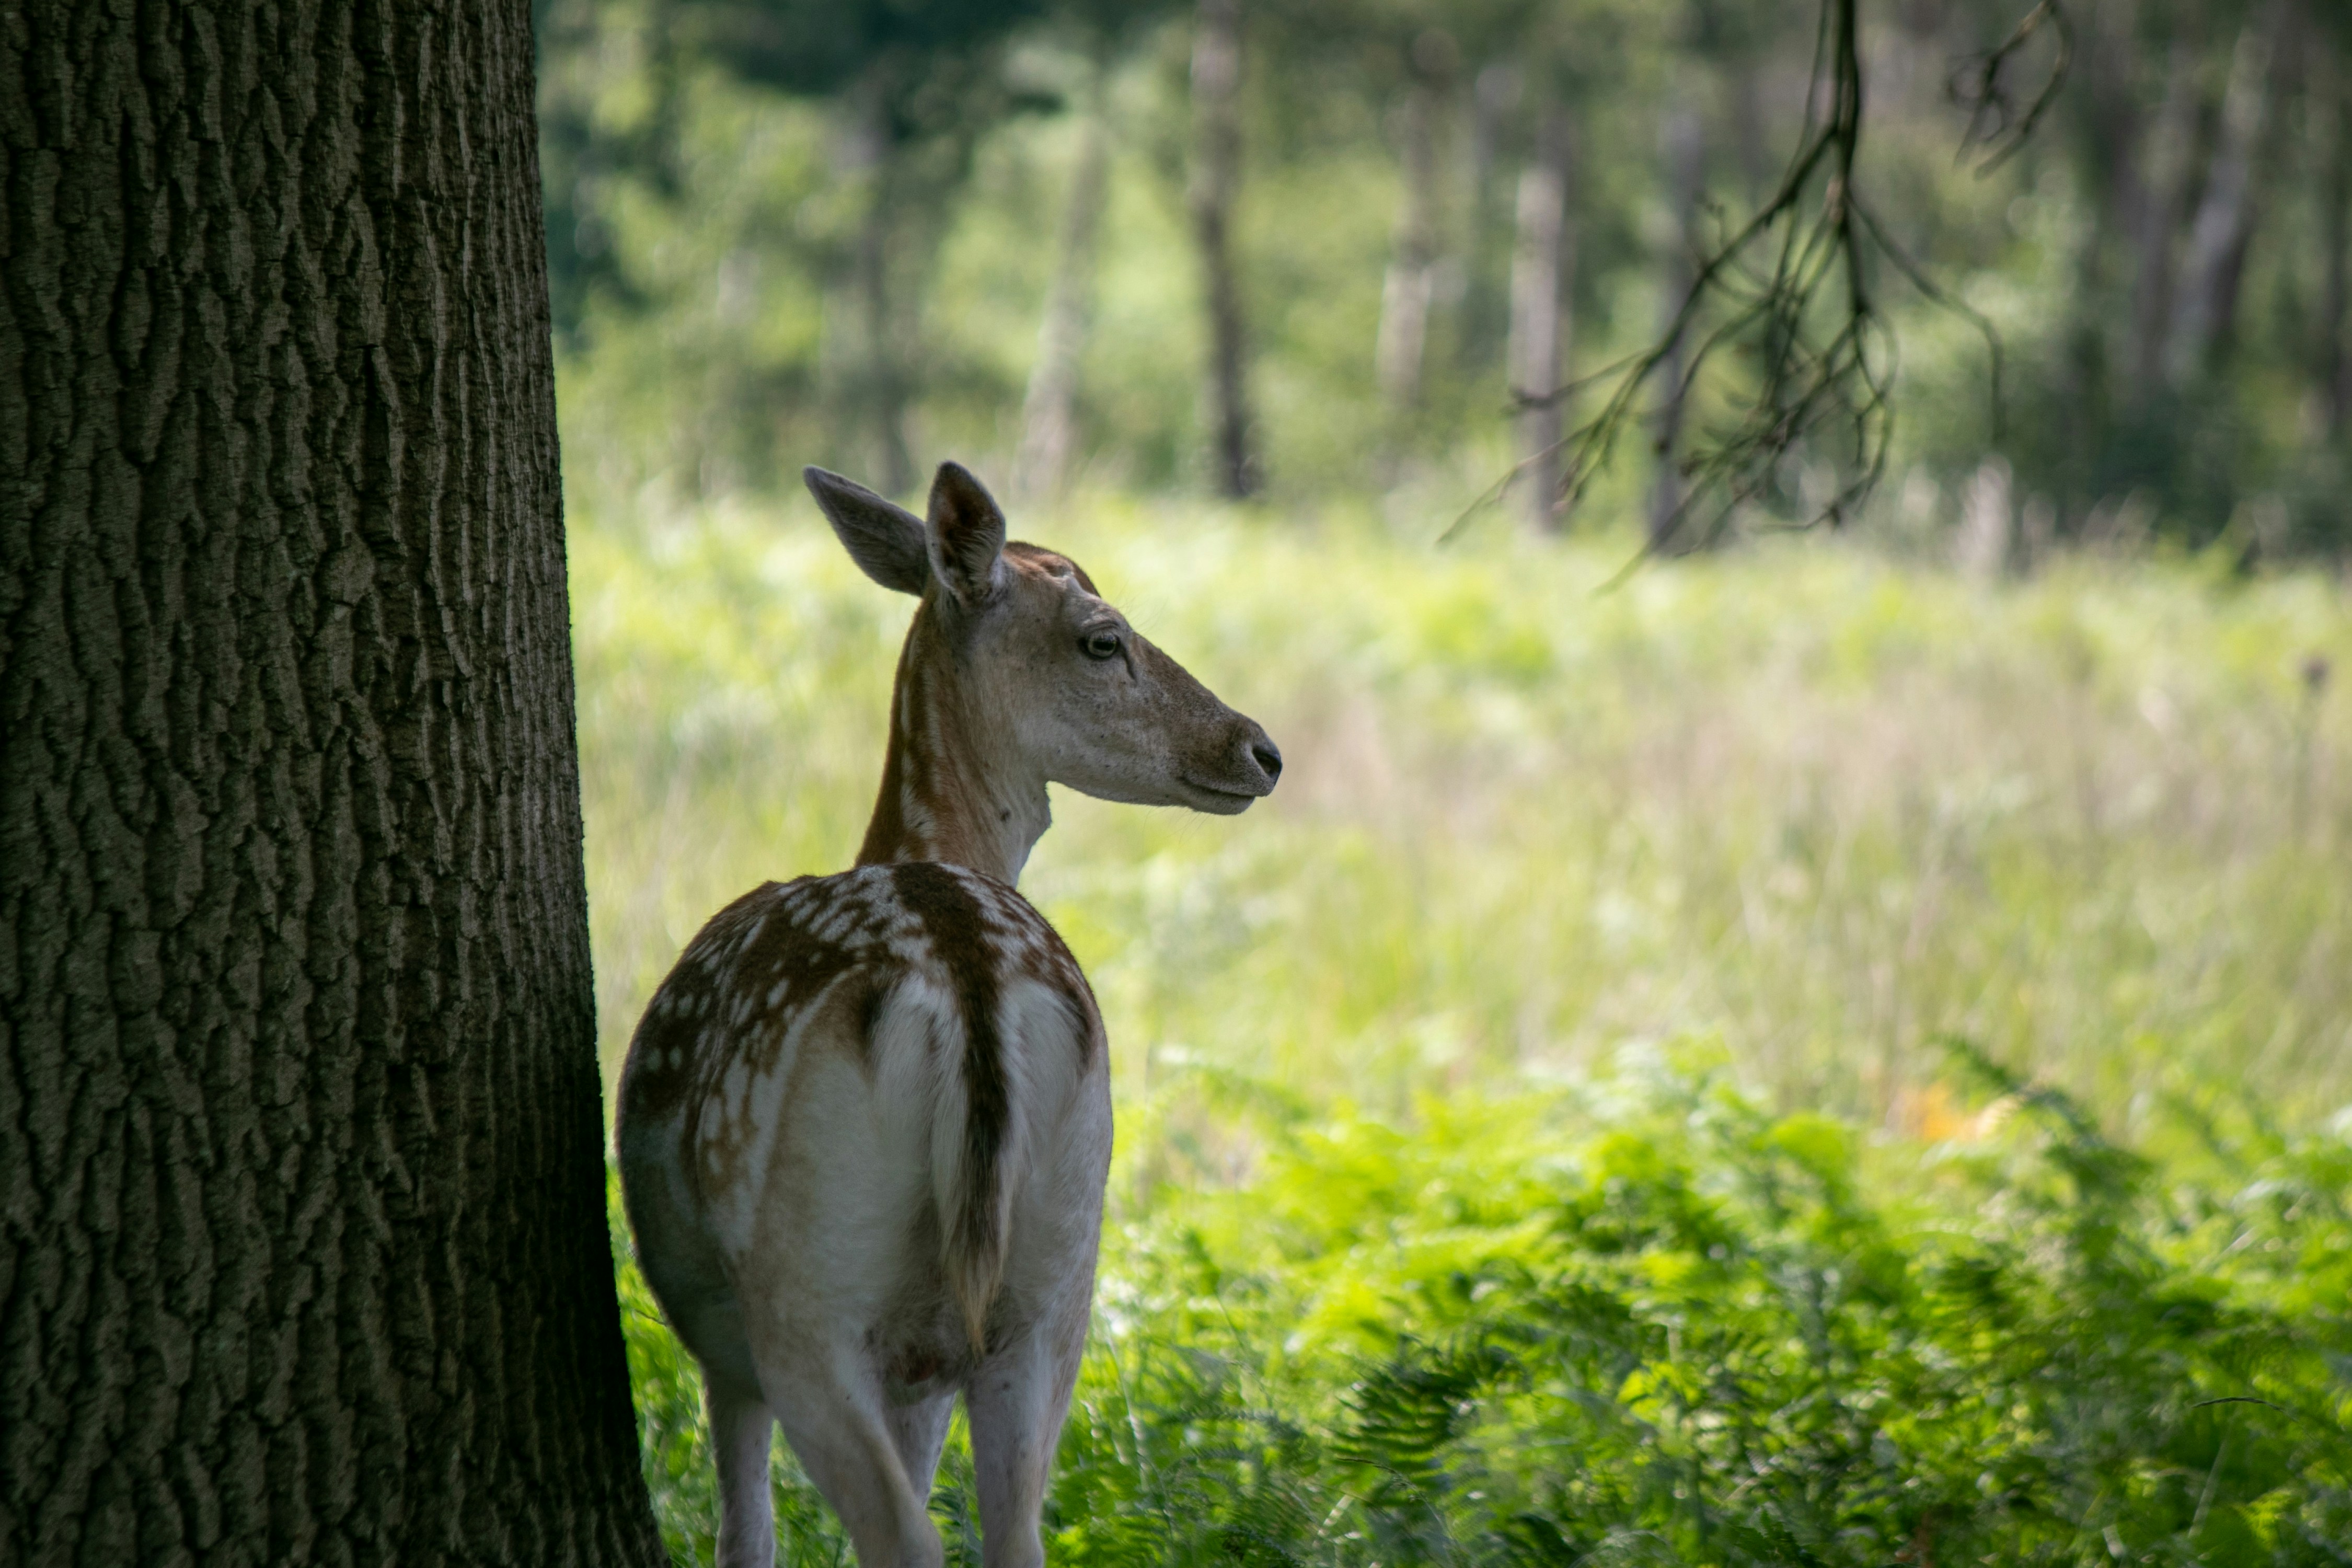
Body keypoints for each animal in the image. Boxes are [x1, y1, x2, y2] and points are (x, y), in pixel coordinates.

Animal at [615, 461, 1281, 1568]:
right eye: (1104, 637)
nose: (1261, 749)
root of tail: (967, 981)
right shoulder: (924, 1356)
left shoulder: (723, 1340)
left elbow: (746, 1534)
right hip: (1056, 1280)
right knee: (1009, 1530)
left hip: (808, 1287)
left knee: (900, 1532)